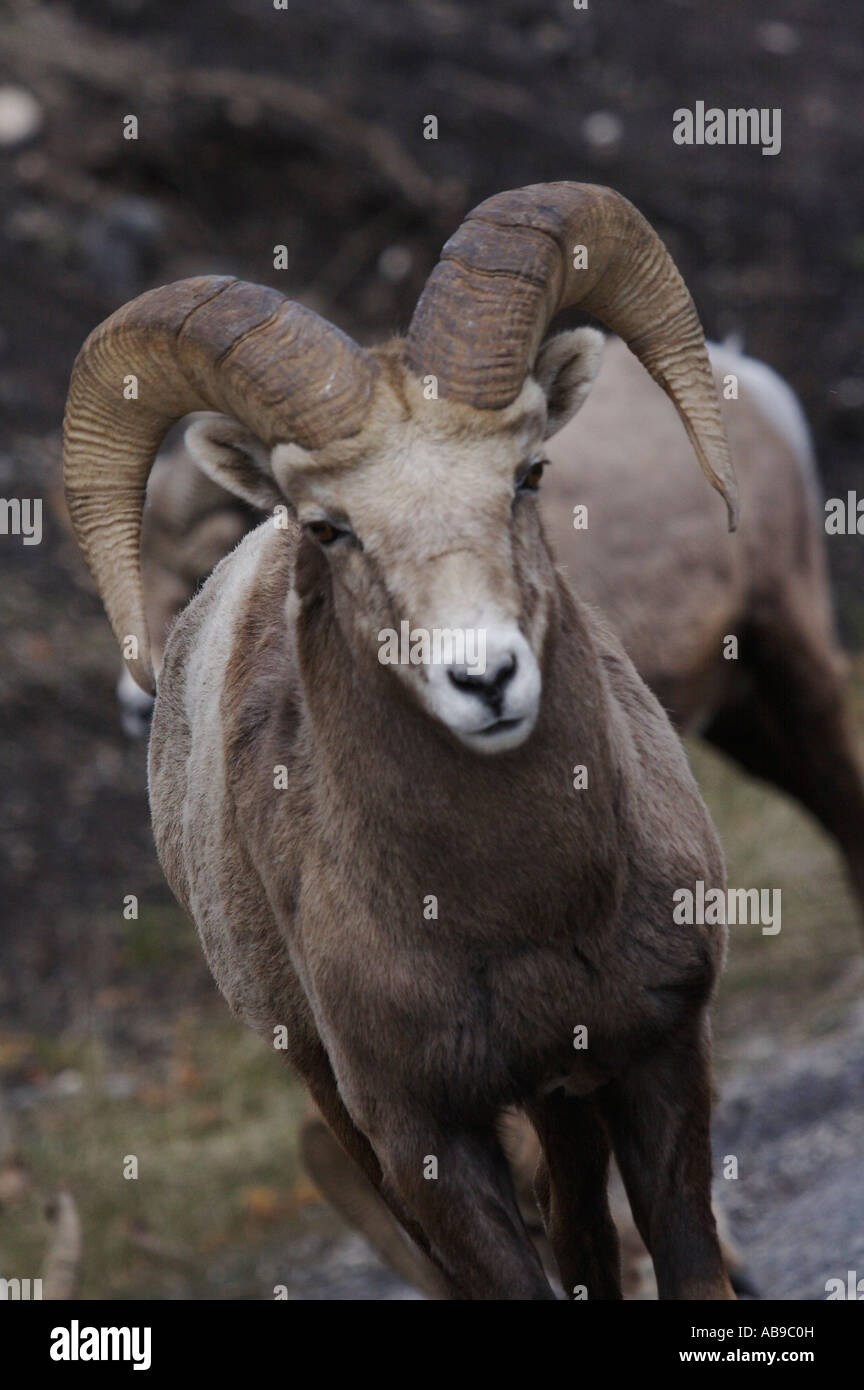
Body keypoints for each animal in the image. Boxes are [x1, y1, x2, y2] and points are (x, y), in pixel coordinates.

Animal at [64, 181, 740, 1300]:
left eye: (529, 472)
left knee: (582, 1234)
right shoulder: (423, 1138)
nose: (486, 678)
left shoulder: (659, 1059)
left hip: (559, 1098)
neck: (524, 915)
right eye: (328, 526)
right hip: (337, 1096)